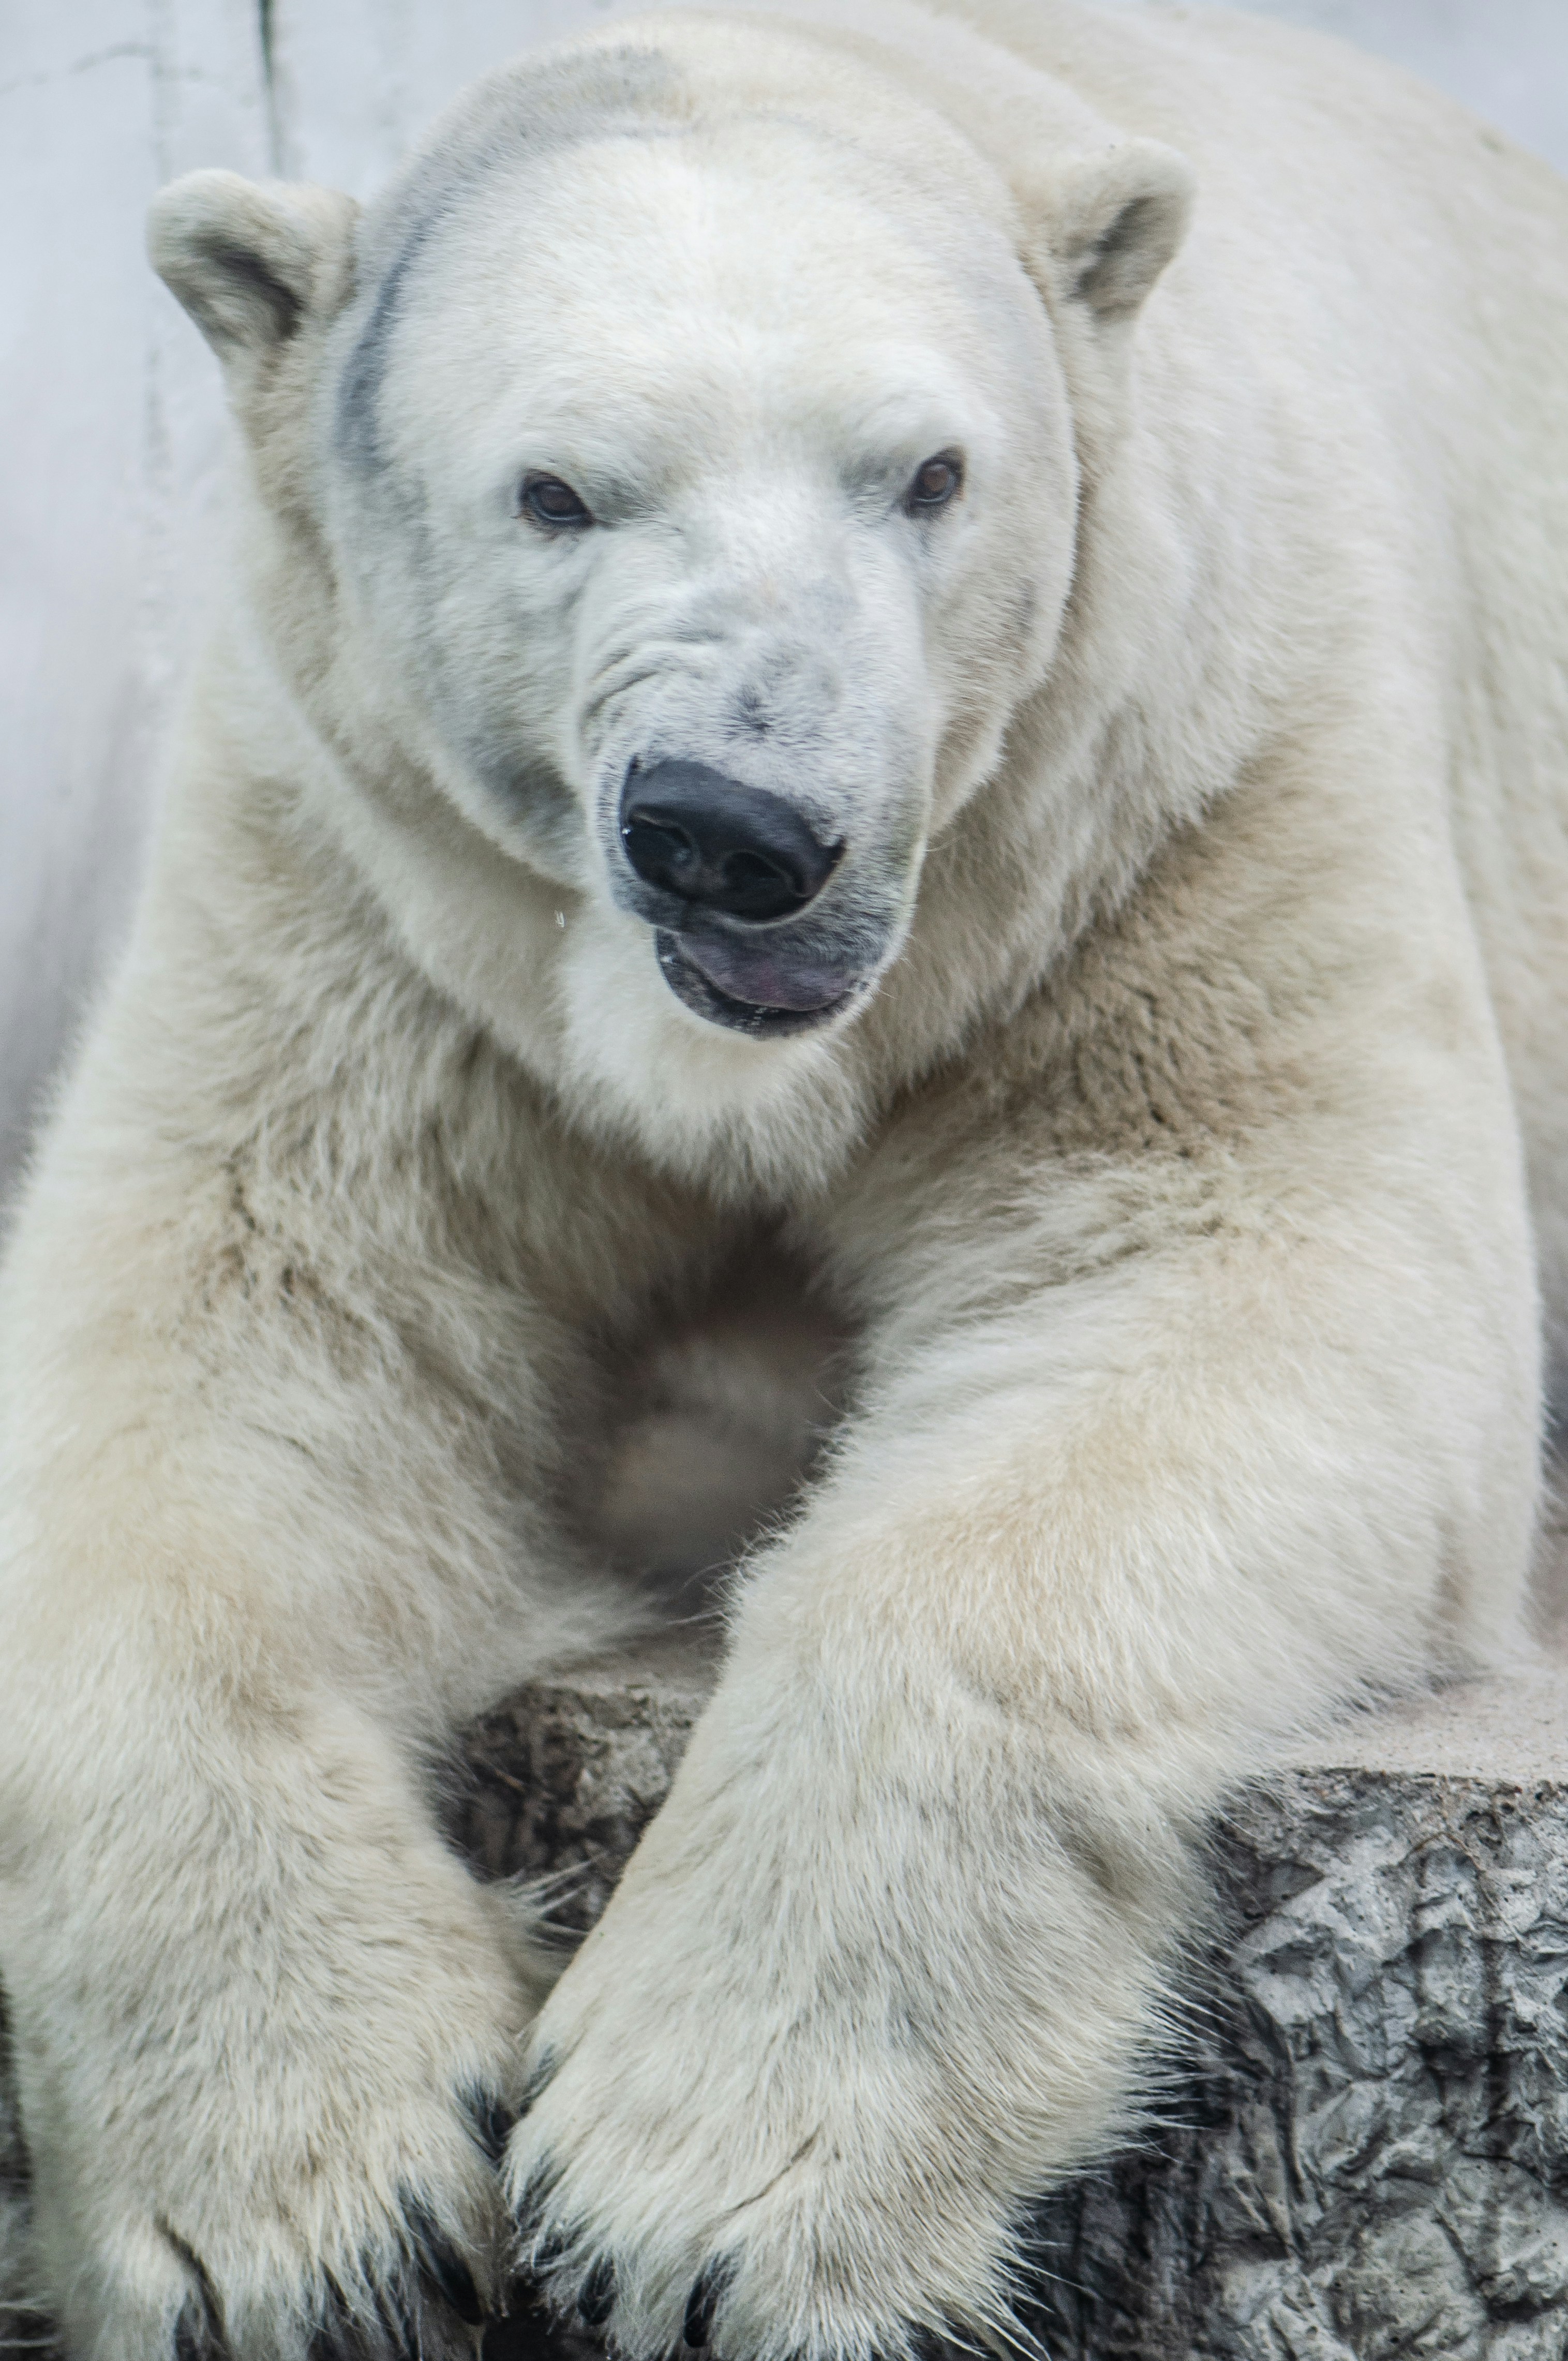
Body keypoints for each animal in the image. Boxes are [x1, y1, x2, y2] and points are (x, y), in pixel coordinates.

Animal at [2, 0, 1565, 2352]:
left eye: (925, 474)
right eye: (555, 489)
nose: (742, 829)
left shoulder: (1179, 775)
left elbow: (1241, 1260)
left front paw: (692, 2194)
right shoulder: (361, 871)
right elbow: (229, 1326)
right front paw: (315, 2211)